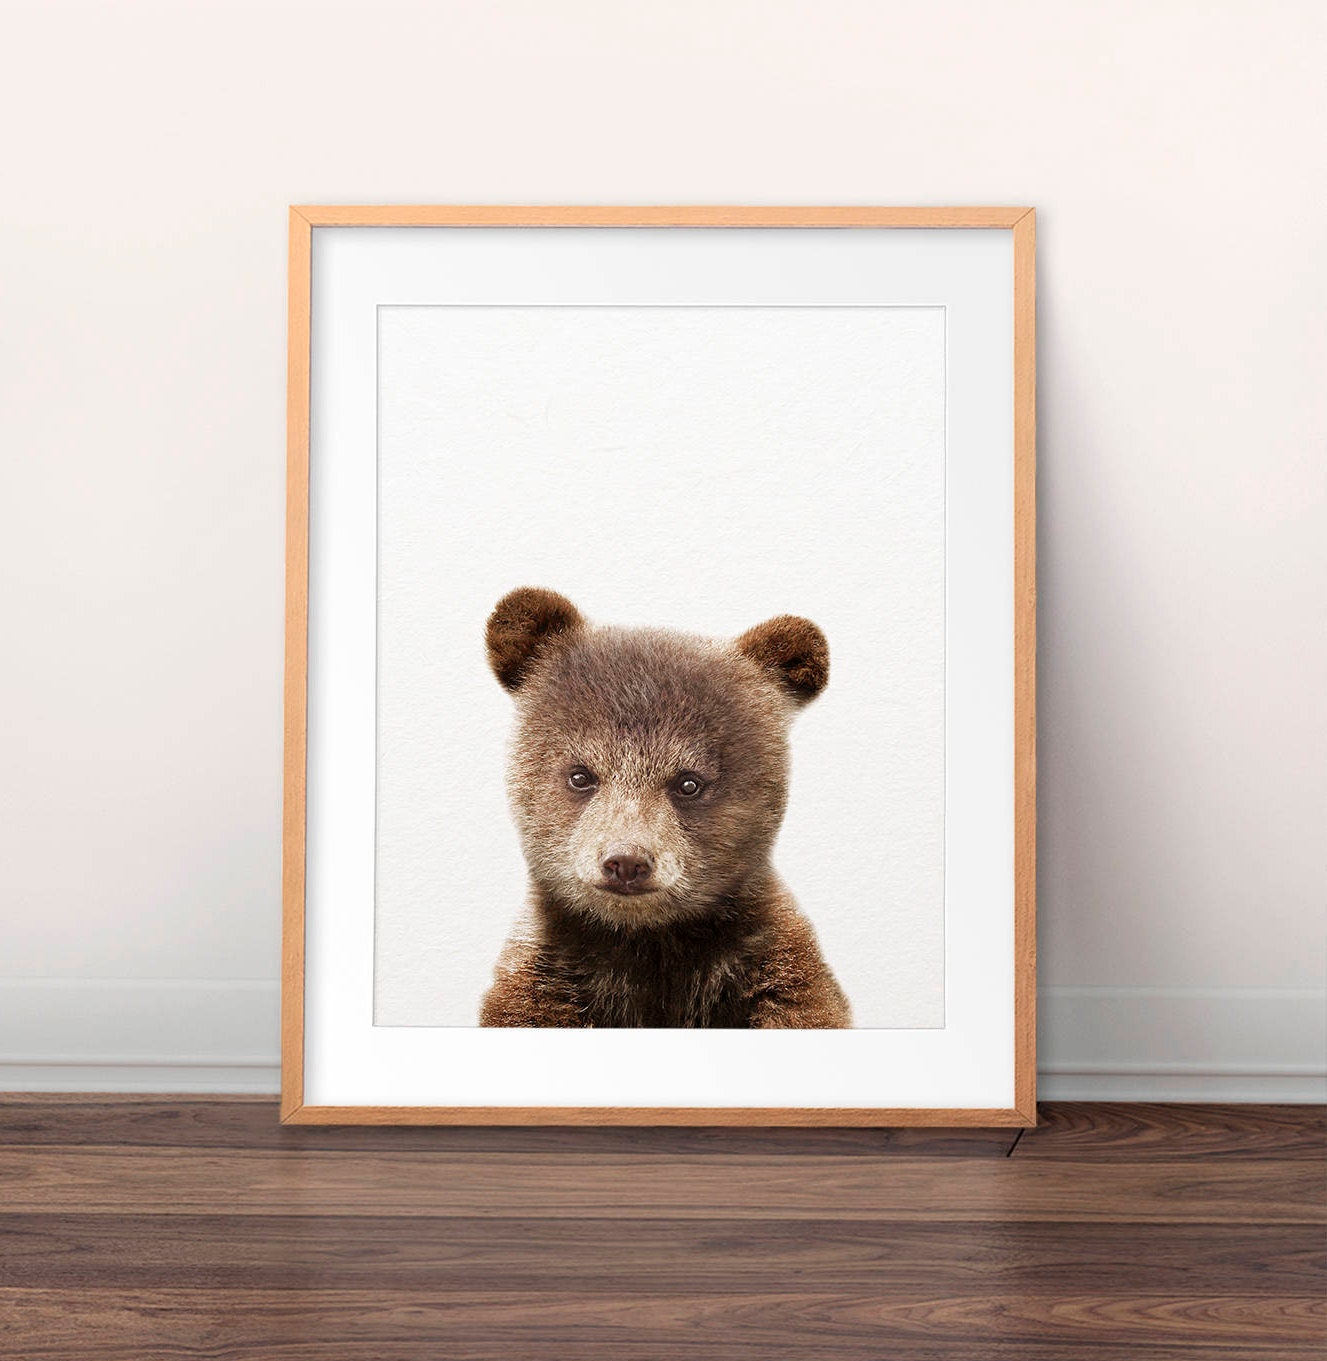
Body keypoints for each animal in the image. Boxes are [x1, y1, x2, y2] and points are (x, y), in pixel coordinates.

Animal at [478, 586, 851, 1029]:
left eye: (688, 782)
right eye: (580, 775)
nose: (626, 861)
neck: (650, 945)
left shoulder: (777, 972)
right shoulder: (544, 982)